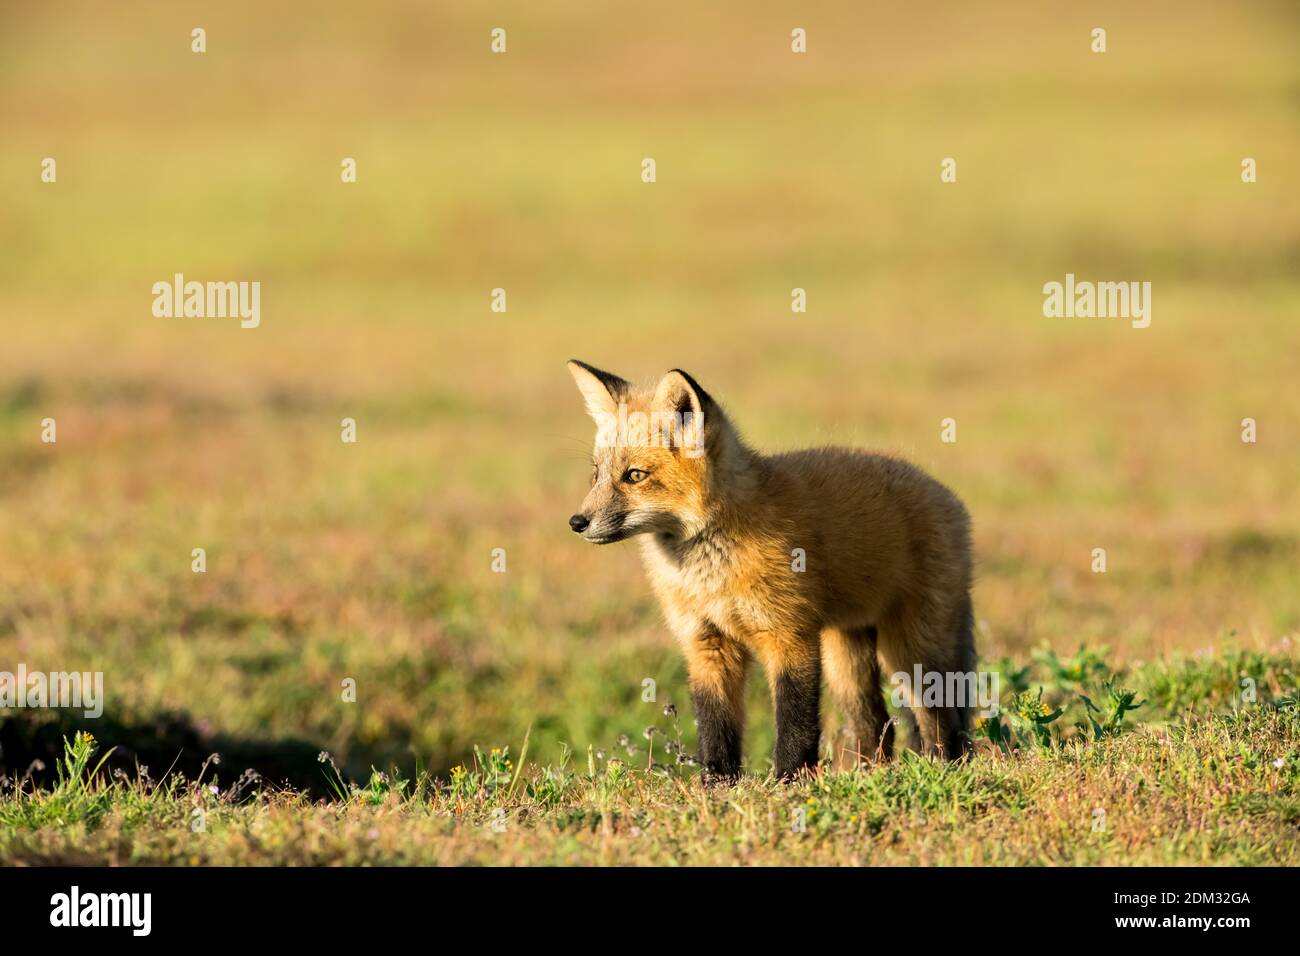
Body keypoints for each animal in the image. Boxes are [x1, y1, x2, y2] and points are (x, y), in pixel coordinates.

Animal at [566, 359, 976, 781]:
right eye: (596, 474)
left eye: (635, 475)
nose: (577, 522)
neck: (711, 574)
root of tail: (948, 496)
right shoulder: (706, 643)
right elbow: (715, 726)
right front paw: (717, 784)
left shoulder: (789, 635)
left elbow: (796, 723)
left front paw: (789, 781)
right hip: (845, 654)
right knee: (877, 724)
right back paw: (867, 776)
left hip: (908, 651)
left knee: (941, 721)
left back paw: (943, 768)